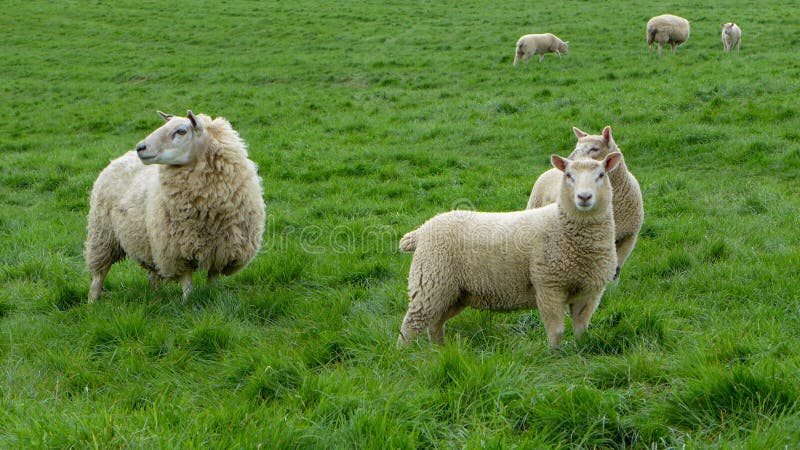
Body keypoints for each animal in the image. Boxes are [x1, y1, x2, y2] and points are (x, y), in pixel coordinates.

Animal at [85, 110, 266, 302]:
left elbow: (213, 279)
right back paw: (92, 302)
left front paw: (213, 297)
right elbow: (187, 283)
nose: (140, 147)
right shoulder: (177, 251)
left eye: (181, 131)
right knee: (98, 276)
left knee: (152, 274)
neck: (208, 212)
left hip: (146, 242)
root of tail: (119, 158)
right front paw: (187, 302)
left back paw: (155, 295)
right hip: (102, 235)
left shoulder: (222, 251)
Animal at [397, 152, 622, 347]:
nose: (584, 197)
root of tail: (423, 229)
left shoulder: (590, 291)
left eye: (601, 175)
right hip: (431, 280)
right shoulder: (548, 285)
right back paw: (403, 354)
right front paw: (554, 354)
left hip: (454, 292)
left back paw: (440, 350)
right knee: (411, 324)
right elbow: (556, 331)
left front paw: (580, 350)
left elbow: (581, 329)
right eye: (568, 175)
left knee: (435, 323)